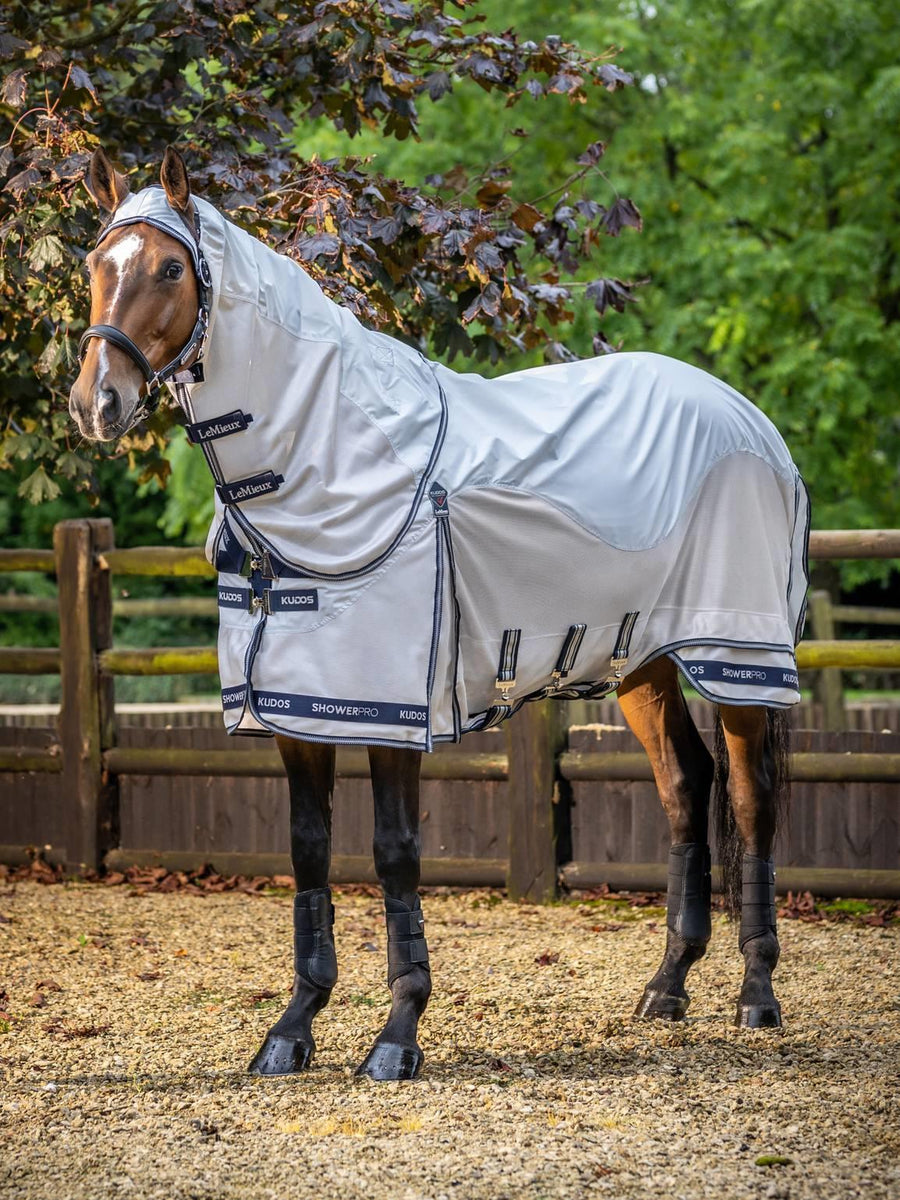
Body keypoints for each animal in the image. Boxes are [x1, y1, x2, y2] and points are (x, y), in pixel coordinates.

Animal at [68, 145, 806, 1081]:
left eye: (169, 268)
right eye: (96, 263)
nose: (96, 402)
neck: (327, 458)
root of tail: (750, 420)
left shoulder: (390, 711)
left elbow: (393, 855)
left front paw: (396, 1035)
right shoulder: (296, 712)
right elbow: (309, 851)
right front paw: (293, 1028)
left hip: (739, 660)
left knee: (751, 799)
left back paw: (757, 995)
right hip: (640, 662)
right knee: (684, 787)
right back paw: (667, 988)